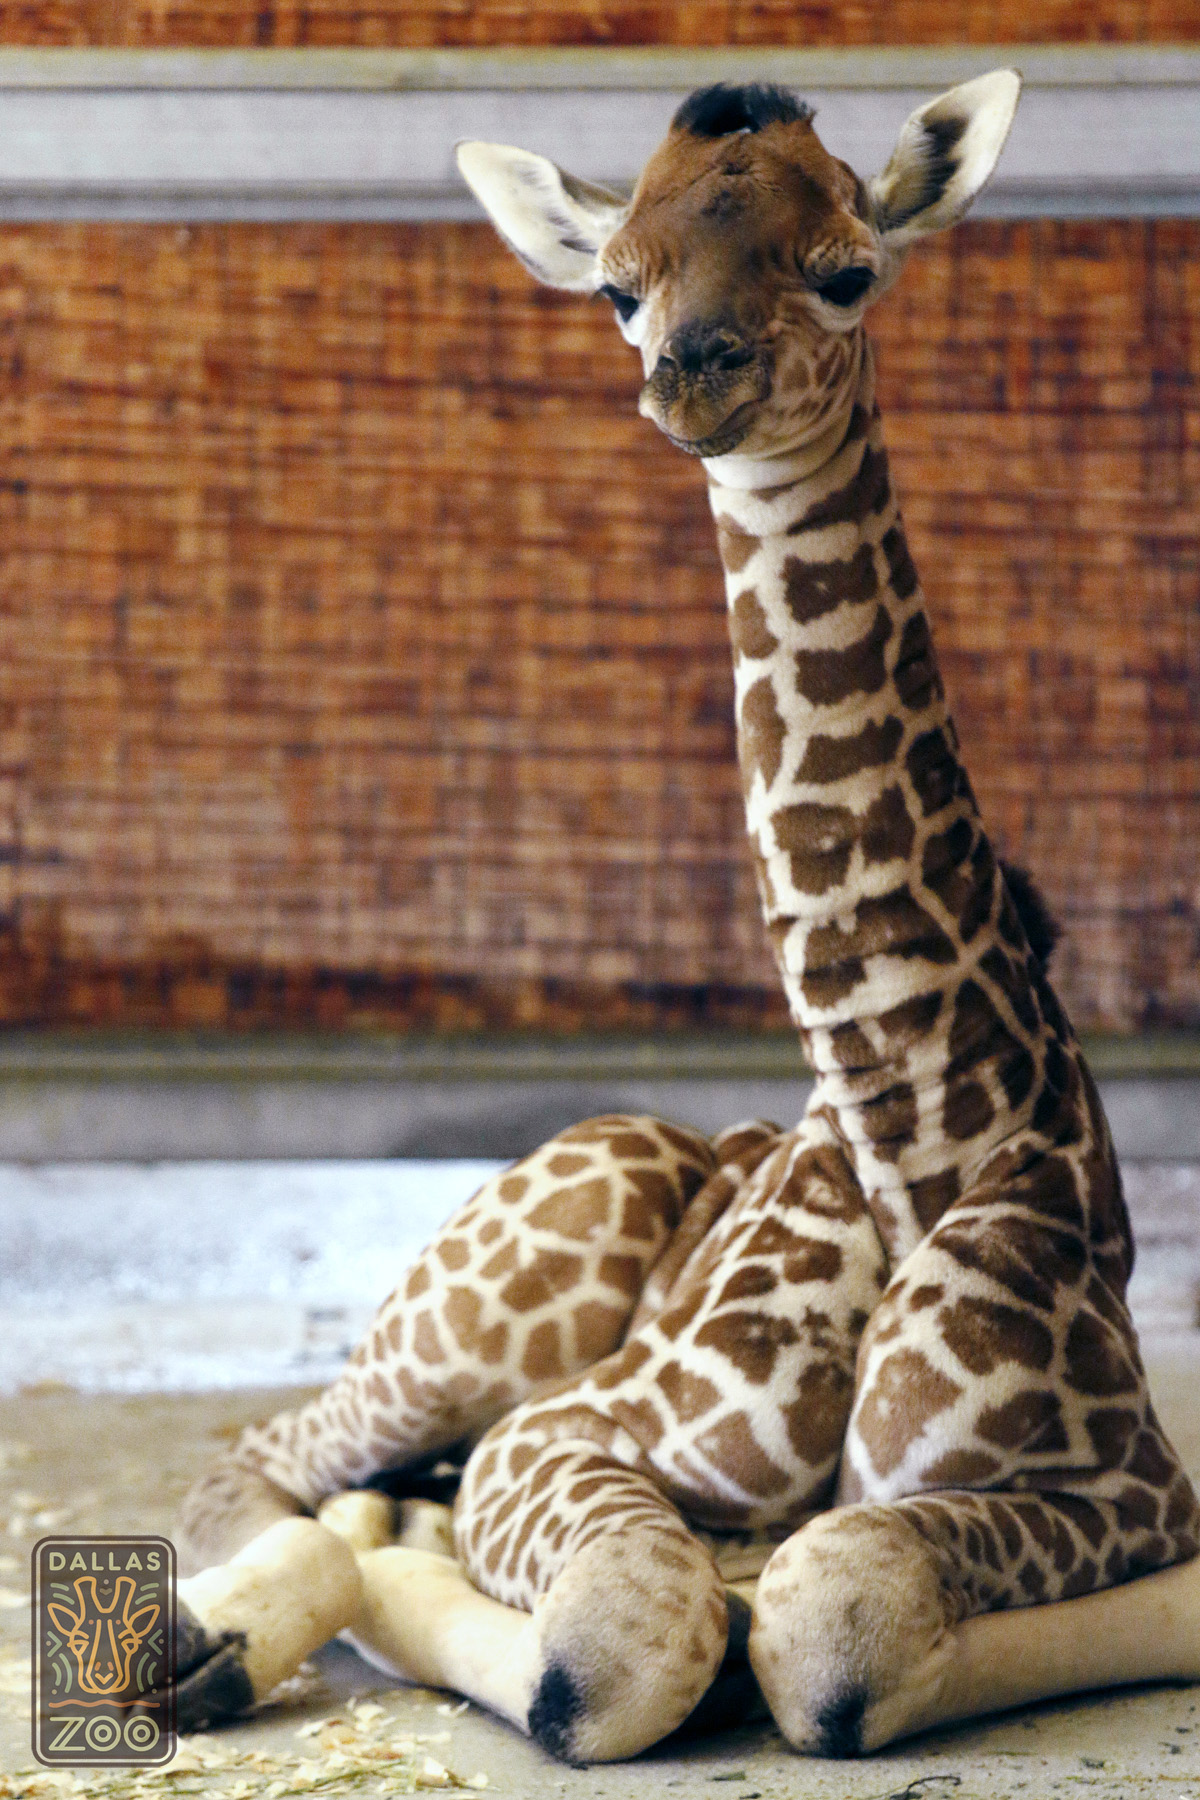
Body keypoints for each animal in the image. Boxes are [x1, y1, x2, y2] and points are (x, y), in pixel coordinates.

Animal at [169, 72, 1200, 1763]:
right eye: (615, 285)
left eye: (848, 269)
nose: (689, 377)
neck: (910, 1129)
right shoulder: (573, 1424)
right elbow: (614, 1655)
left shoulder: (1130, 1486)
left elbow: (838, 1614)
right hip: (484, 1317)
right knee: (276, 1454)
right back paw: (210, 1644)